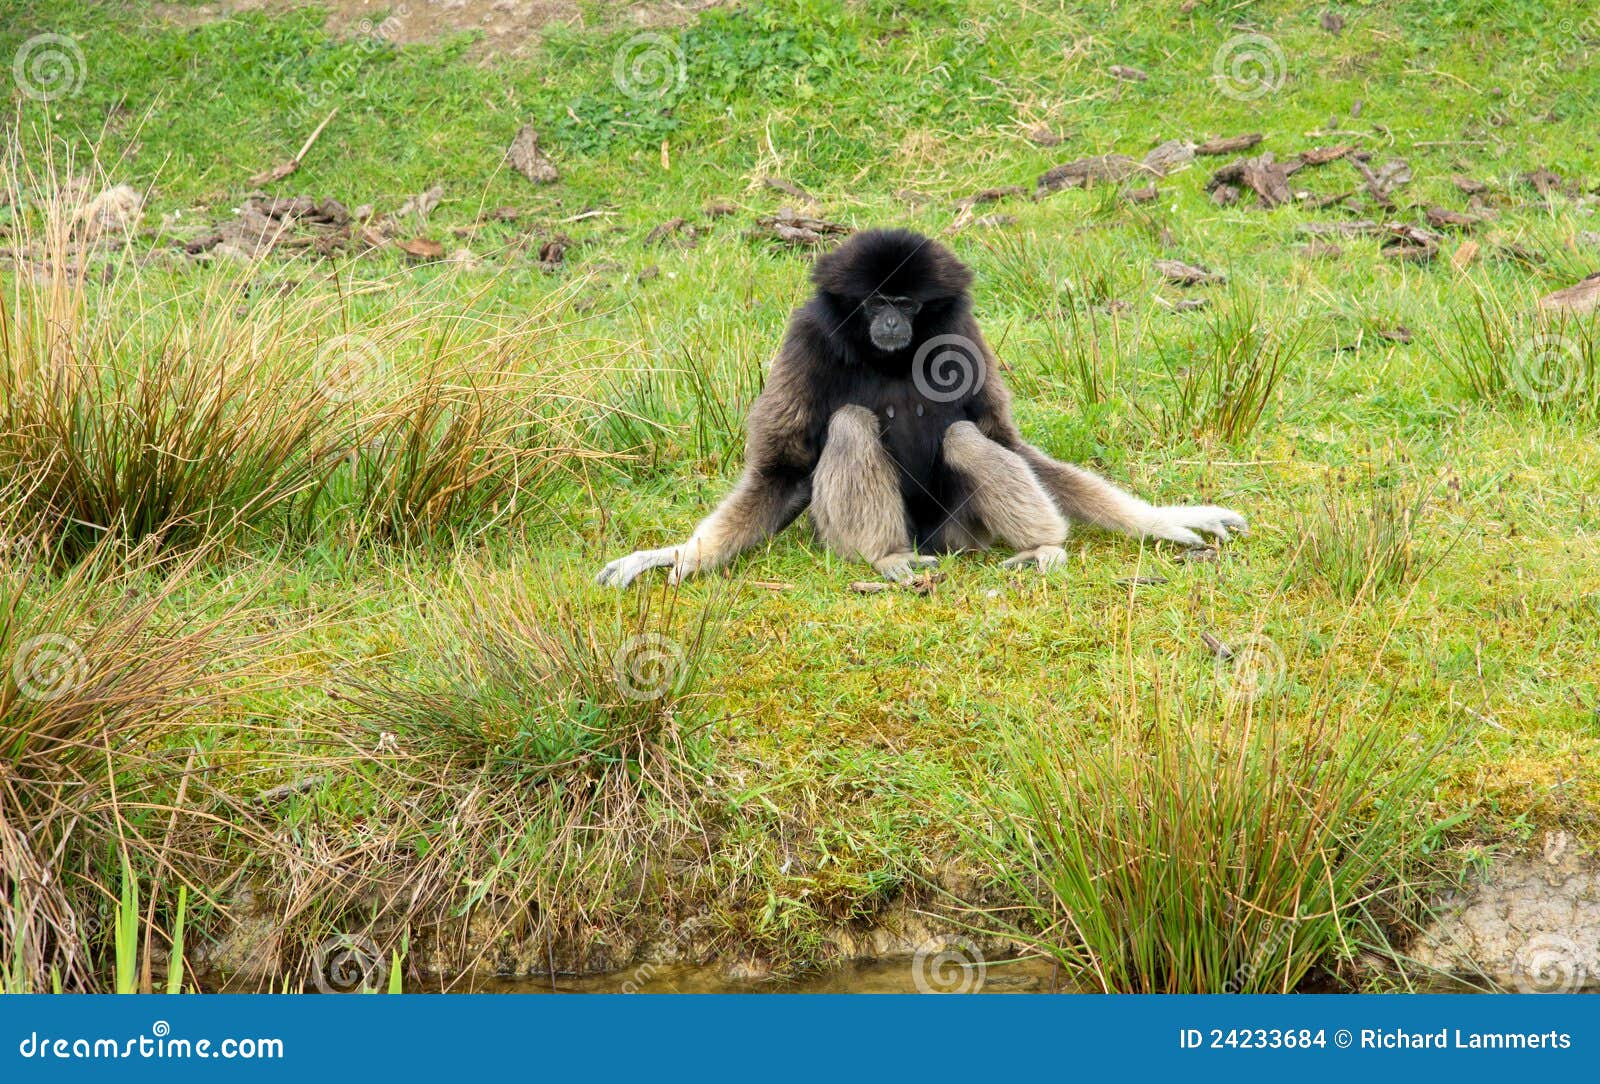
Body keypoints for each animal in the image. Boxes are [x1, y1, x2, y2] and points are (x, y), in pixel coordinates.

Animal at [596, 228, 1245, 588]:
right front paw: (676, 555)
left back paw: (1042, 547)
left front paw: (1164, 517)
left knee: (964, 436)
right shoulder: (805, 337)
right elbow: (783, 470)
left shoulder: (962, 330)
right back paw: (887, 559)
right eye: (876, 301)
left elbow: (1004, 438)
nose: (890, 321)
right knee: (850, 424)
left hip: (959, 531)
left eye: (907, 303)